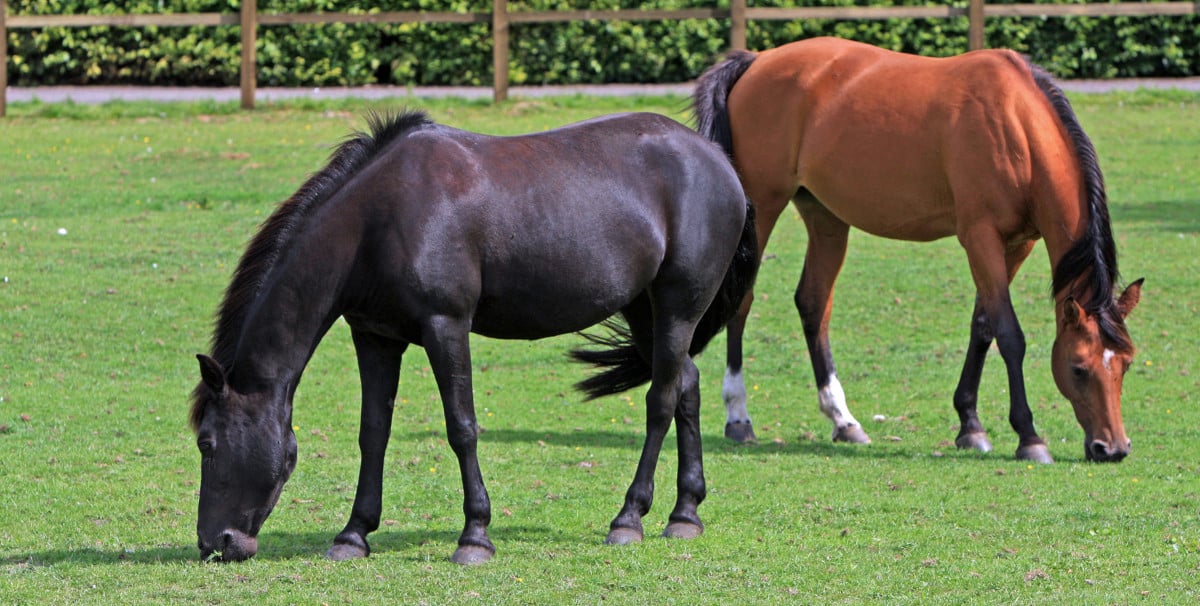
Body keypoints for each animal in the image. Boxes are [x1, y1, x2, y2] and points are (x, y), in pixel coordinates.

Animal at [188, 109, 758, 563]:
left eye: (206, 442)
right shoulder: (375, 337)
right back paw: (685, 513)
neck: (378, 220)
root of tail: (718, 160)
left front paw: (475, 536)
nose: (216, 543)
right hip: (646, 312)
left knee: (660, 401)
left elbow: (461, 427)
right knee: (685, 386)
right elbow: (373, 432)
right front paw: (353, 535)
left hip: (677, 307)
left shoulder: (446, 326)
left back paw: (629, 518)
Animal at [692, 37, 1142, 463]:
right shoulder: (980, 237)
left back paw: (843, 420)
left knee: (814, 303)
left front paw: (970, 425)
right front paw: (1028, 437)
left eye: (1126, 363)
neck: (1016, 127)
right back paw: (739, 417)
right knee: (743, 300)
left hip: (825, 216)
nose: (1112, 448)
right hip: (764, 206)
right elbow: (1009, 333)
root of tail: (757, 61)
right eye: (1079, 369)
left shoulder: (1018, 244)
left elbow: (983, 326)